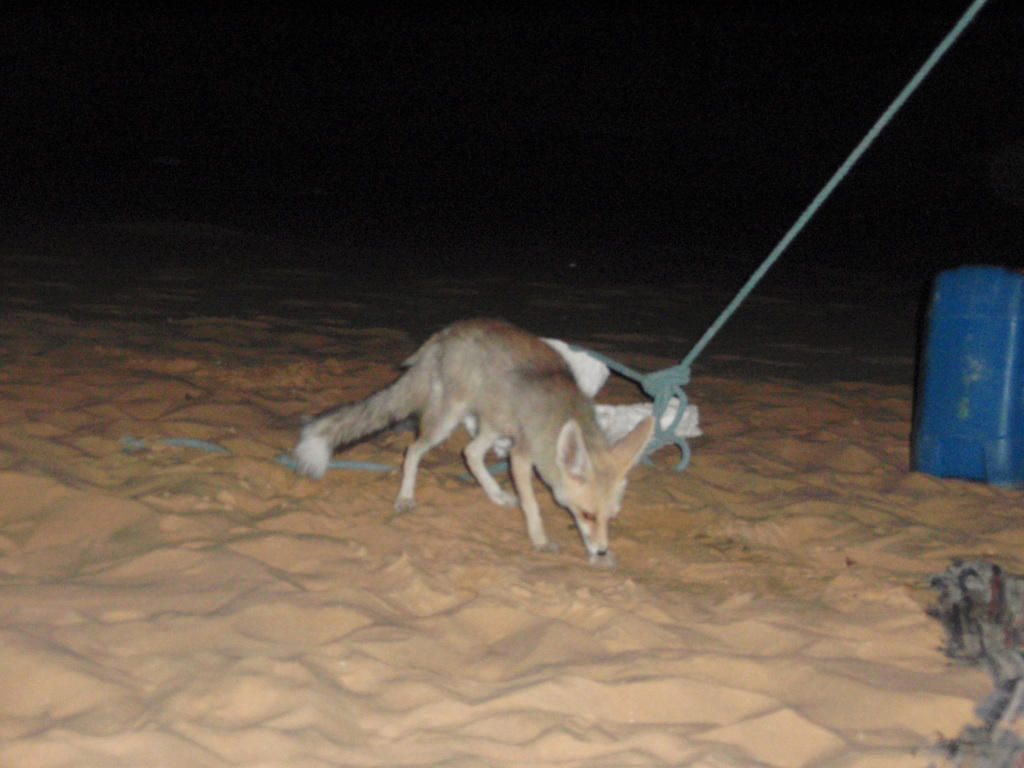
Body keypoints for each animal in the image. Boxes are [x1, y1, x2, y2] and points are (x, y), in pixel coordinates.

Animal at [293, 318, 654, 566]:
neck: (560, 415)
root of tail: (446, 333)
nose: (602, 550)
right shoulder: (521, 455)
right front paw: (539, 540)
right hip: (449, 420)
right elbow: (533, 506)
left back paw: (495, 495)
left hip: (492, 424)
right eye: (587, 515)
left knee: (470, 453)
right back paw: (405, 496)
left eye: (611, 518)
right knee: (414, 450)